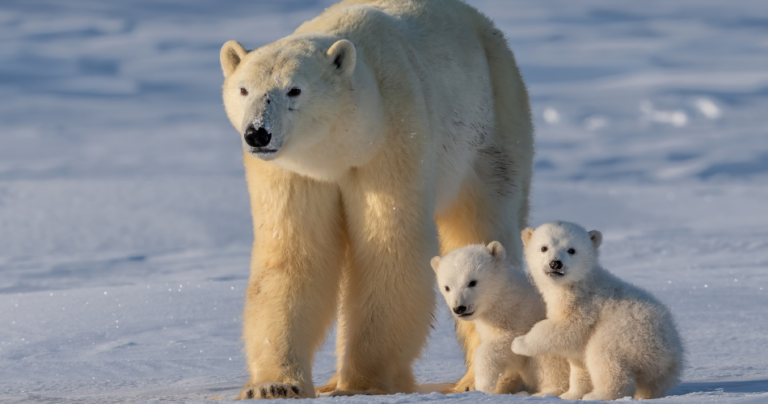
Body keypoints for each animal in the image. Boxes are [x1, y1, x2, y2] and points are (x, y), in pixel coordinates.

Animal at [219, 0, 534, 398]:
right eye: (244, 89)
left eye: (294, 90)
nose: (258, 133)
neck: (340, 149)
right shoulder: (294, 172)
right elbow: (293, 255)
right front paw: (275, 385)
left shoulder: (392, 141)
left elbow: (389, 249)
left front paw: (362, 384)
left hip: (492, 125)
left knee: (482, 222)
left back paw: (477, 379)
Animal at [431, 242, 570, 396]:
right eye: (447, 287)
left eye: (472, 282)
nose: (459, 308)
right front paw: (500, 387)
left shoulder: (523, 316)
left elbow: (508, 344)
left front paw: (483, 384)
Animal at [512, 221, 684, 401]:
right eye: (544, 247)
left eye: (571, 250)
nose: (555, 263)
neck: (578, 284)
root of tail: (671, 355)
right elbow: (579, 363)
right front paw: (570, 395)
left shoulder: (585, 306)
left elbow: (566, 328)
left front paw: (519, 343)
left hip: (627, 336)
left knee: (603, 357)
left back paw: (597, 395)